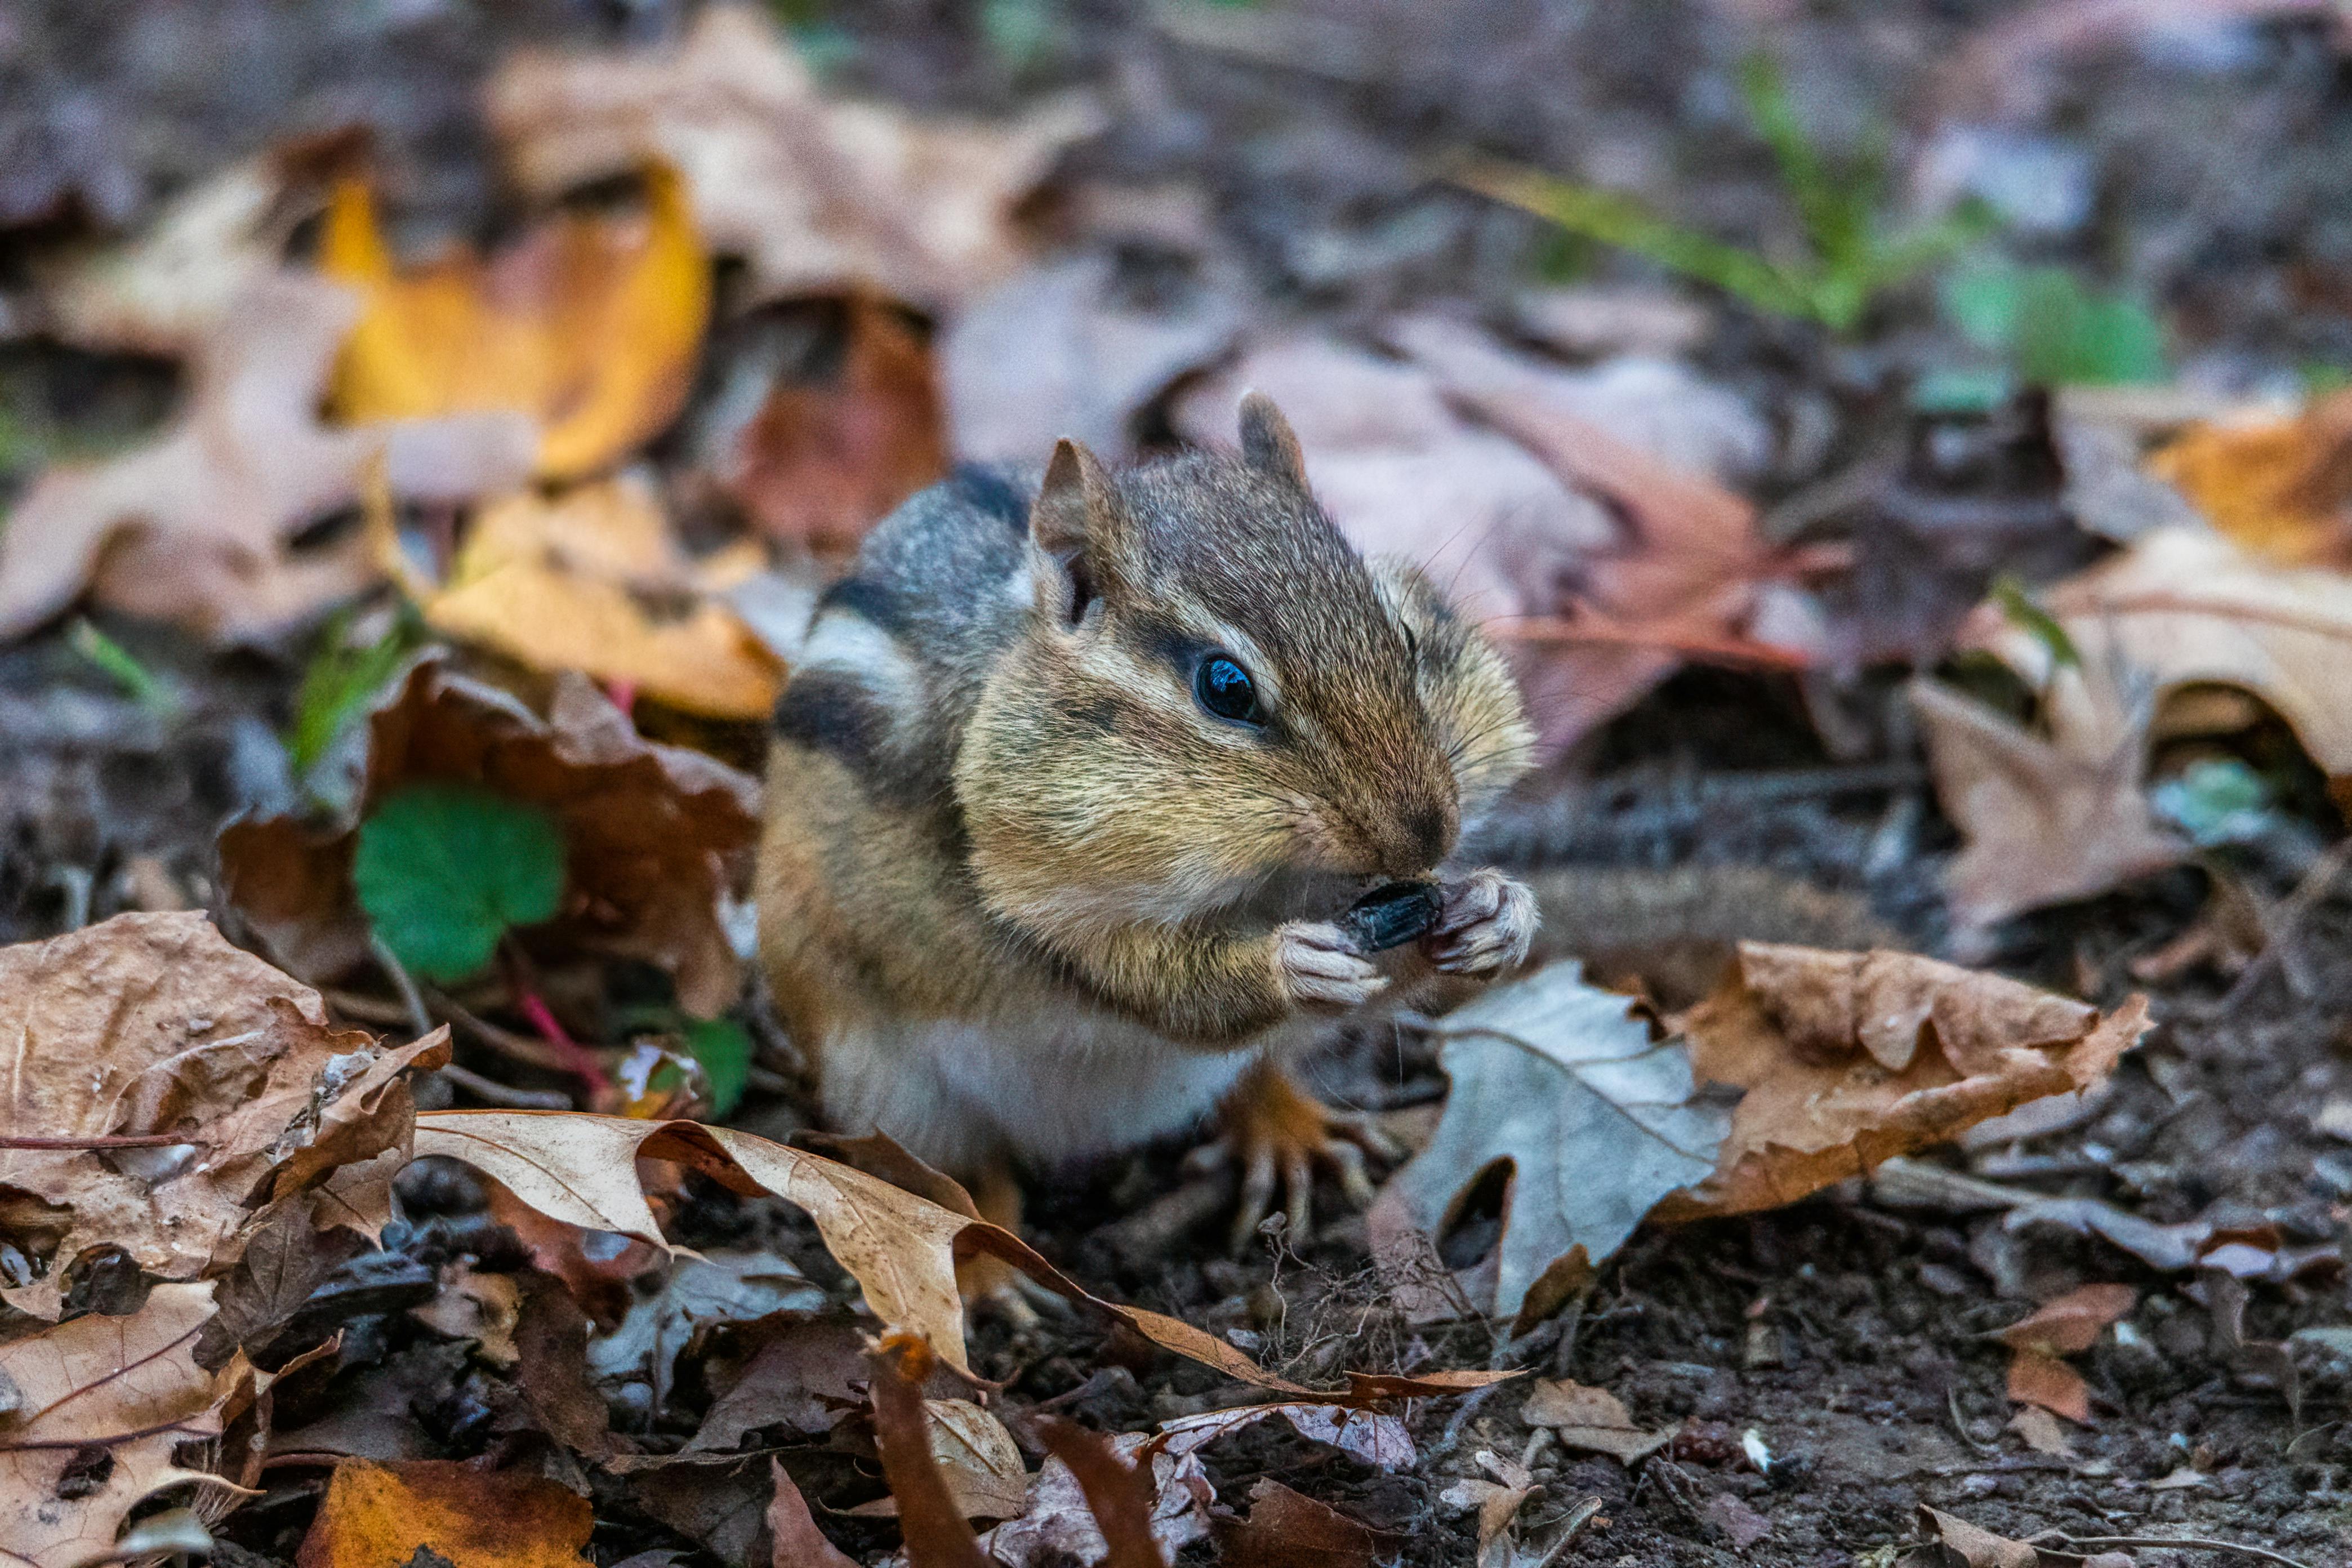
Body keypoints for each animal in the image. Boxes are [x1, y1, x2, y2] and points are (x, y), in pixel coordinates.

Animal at [755, 394, 1540, 1282]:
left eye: (1405, 639)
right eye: (1224, 687)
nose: (1428, 836)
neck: (1268, 884)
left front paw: (1497, 913)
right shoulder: (1035, 905)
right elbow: (1149, 986)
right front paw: (1287, 966)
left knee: (1254, 1069)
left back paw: (1289, 1129)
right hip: (887, 1085)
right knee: (965, 1179)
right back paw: (988, 1272)